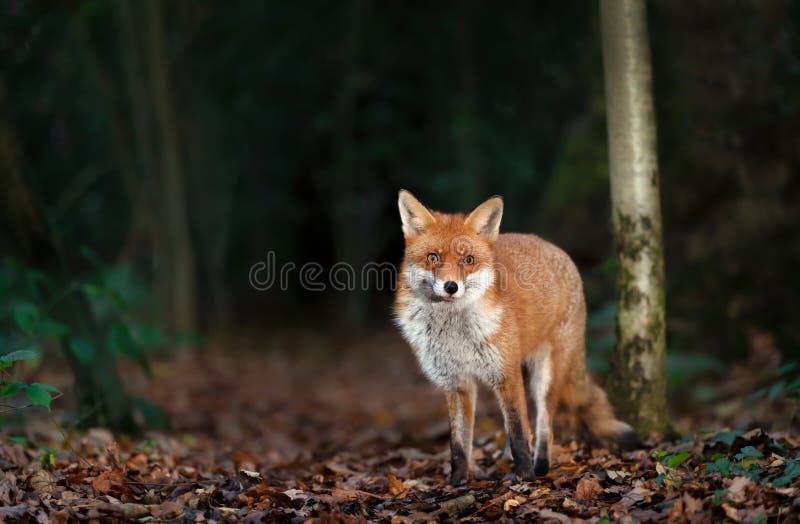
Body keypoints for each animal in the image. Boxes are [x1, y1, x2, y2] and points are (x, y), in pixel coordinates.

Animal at [393, 190, 638, 484]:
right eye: (433, 257)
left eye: (468, 260)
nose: (451, 287)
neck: (455, 334)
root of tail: (556, 249)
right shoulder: (456, 382)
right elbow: (458, 443)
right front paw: (458, 482)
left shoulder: (505, 374)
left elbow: (520, 431)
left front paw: (526, 477)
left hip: (543, 377)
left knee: (545, 426)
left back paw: (540, 466)